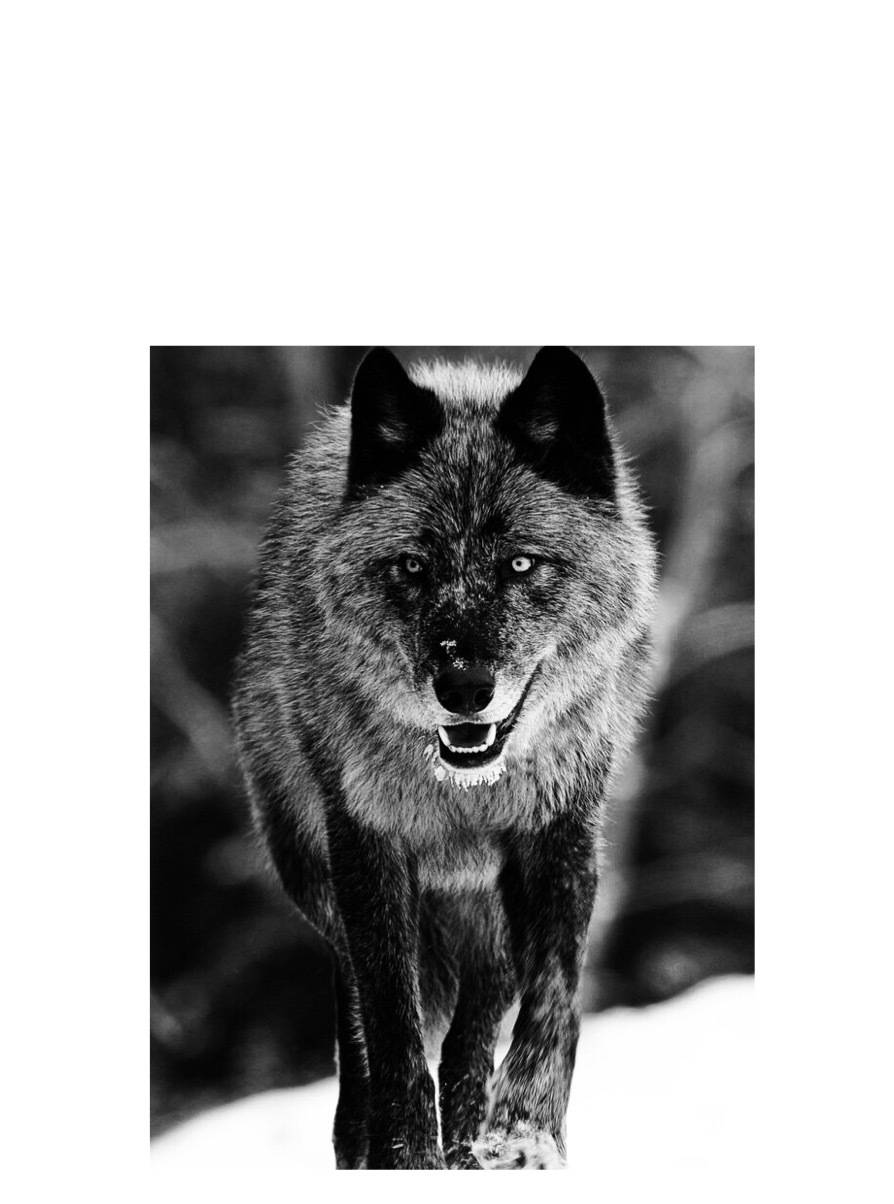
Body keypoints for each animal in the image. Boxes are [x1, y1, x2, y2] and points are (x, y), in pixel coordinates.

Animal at [232, 347, 657, 1169]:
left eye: (521, 564)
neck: (463, 791)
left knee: (476, 1023)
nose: (464, 688)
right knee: (370, 1026)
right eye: (412, 567)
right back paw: (375, 1140)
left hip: (483, 914)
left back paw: (469, 1135)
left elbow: (555, 995)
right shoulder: (367, 848)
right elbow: (392, 1031)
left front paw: (524, 1134)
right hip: (315, 875)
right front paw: (404, 1157)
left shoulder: (559, 834)